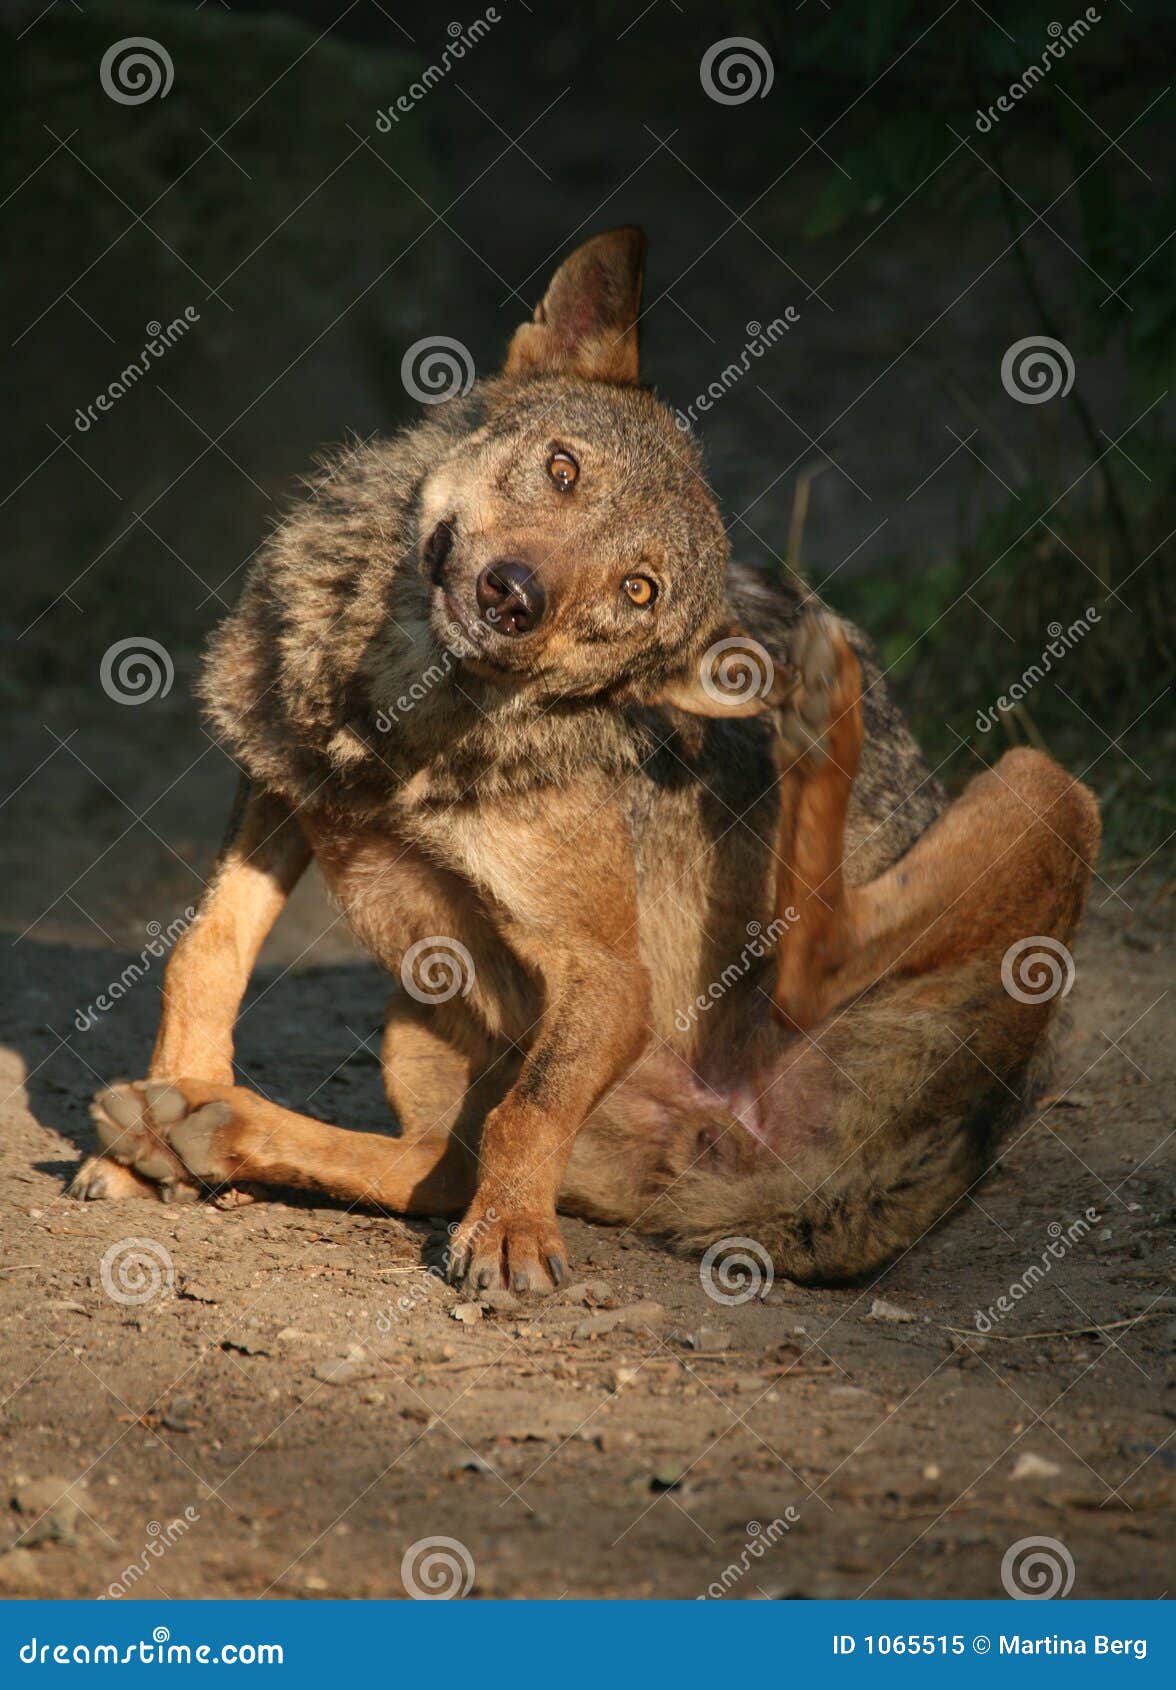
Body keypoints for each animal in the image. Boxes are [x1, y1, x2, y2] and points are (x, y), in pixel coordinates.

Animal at [70, 228, 1100, 1293]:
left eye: (636, 590)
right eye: (563, 470)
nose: (512, 593)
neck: (394, 723)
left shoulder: (610, 980)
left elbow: (532, 1112)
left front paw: (513, 1234)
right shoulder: (280, 782)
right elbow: (205, 953)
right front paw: (158, 1122)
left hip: (1047, 784)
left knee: (807, 960)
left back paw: (822, 701)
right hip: (415, 1014)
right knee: (436, 1167)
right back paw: (198, 1129)